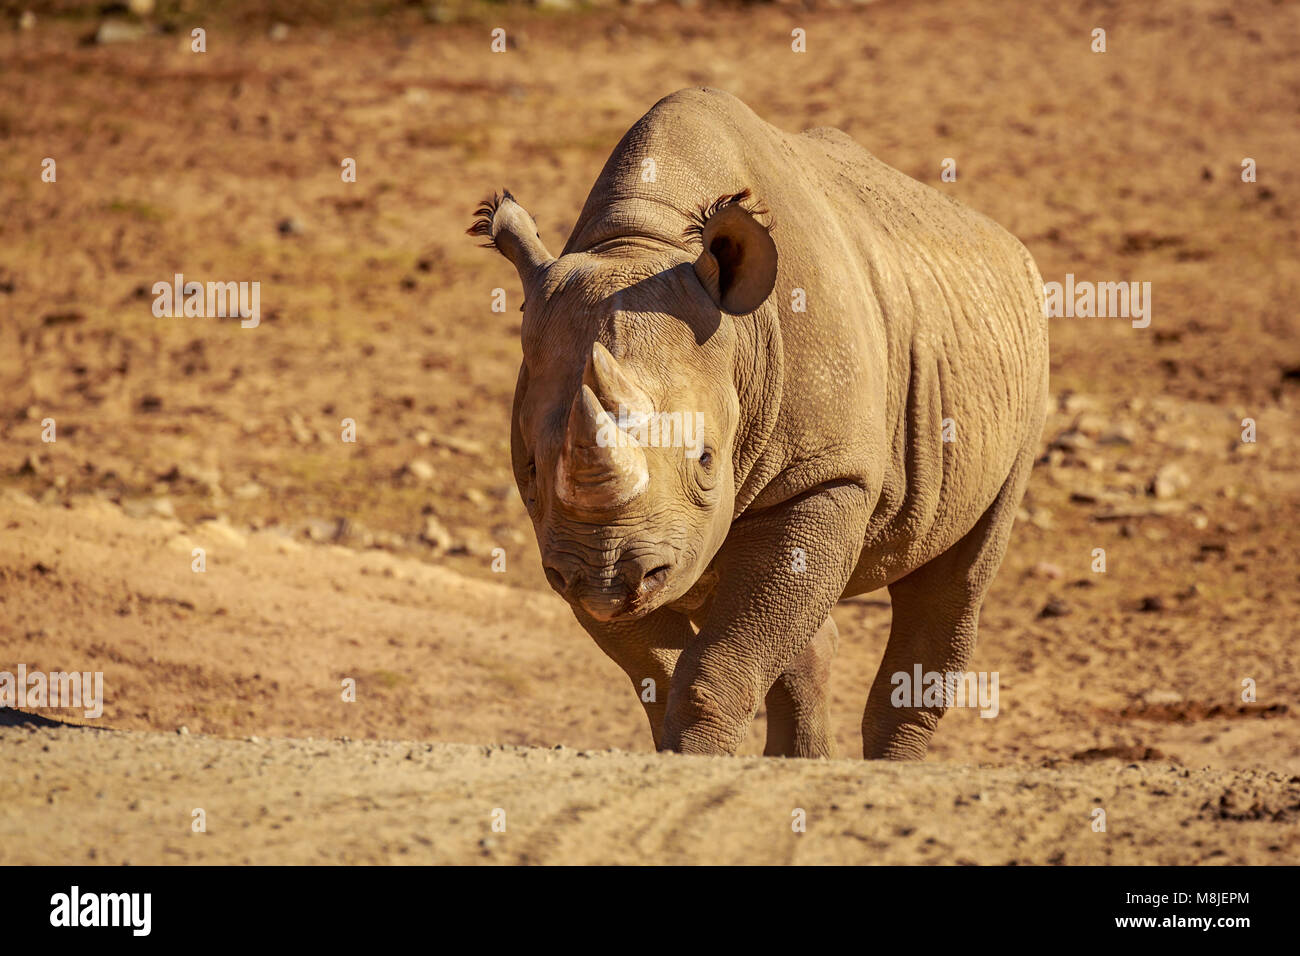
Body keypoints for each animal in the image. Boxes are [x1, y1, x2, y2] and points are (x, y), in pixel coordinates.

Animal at [469, 88, 1048, 759]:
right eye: (534, 467)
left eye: (705, 460)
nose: (608, 578)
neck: (643, 244)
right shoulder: (566, 539)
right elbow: (668, 670)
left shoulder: (827, 474)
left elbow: (715, 666)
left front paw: (697, 755)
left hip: (1020, 358)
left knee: (957, 577)